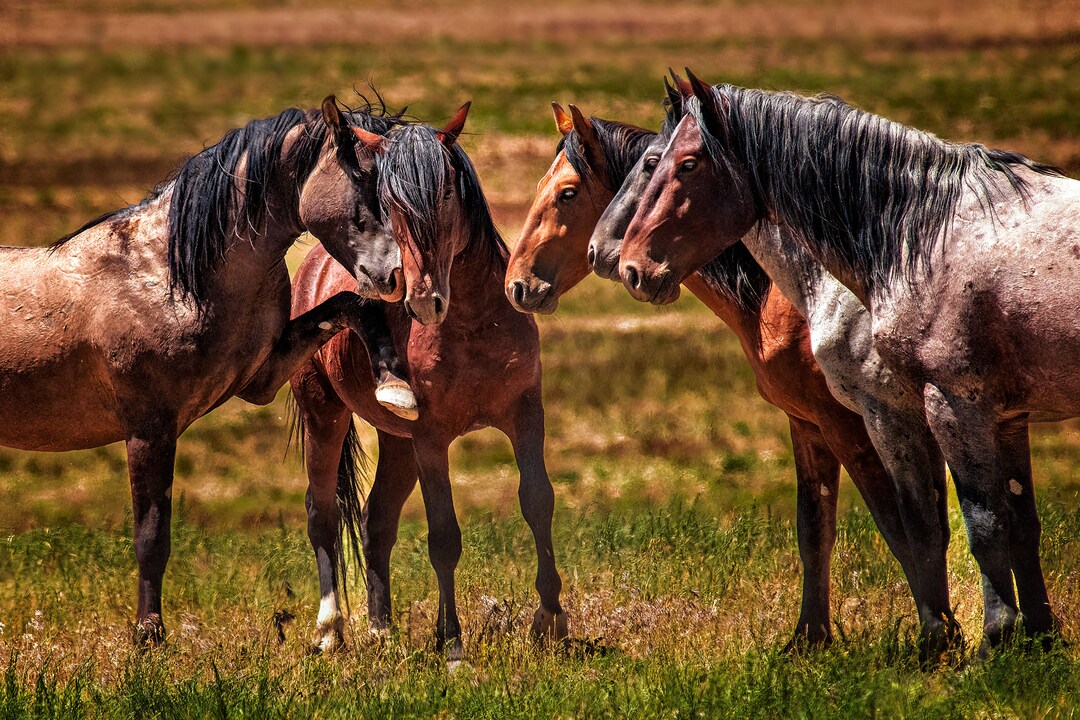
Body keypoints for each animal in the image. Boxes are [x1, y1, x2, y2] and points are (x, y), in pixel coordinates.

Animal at [0, 94, 411, 645]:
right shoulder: (149, 430)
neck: (172, 276)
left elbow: (351, 305)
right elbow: (152, 536)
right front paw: (149, 637)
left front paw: (395, 386)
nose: (395, 276)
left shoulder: (262, 378)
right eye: (360, 178)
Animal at [290, 105, 567, 659]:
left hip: (397, 442)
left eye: (444, 192)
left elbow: (537, 502)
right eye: (389, 206)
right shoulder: (432, 438)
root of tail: (313, 267)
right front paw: (454, 646)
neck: (475, 322)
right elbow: (443, 537)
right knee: (322, 513)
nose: (421, 300)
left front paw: (550, 619)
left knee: (376, 521)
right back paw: (330, 632)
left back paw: (382, 630)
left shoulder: (526, 414)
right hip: (324, 416)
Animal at [504, 98, 927, 649]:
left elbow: (900, 527)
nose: (517, 285)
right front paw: (809, 639)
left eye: (567, 193)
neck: (787, 290)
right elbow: (814, 529)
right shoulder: (807, 422)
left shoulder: (850, 423)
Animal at [619, 71, 1077, 651]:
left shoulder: (937, 407)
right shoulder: (1003, 417)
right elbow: (1011, 522)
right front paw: (1033, 636)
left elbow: (967, 522)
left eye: (683, 164)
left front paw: (982, 636)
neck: (921, 235)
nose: (630, 266)